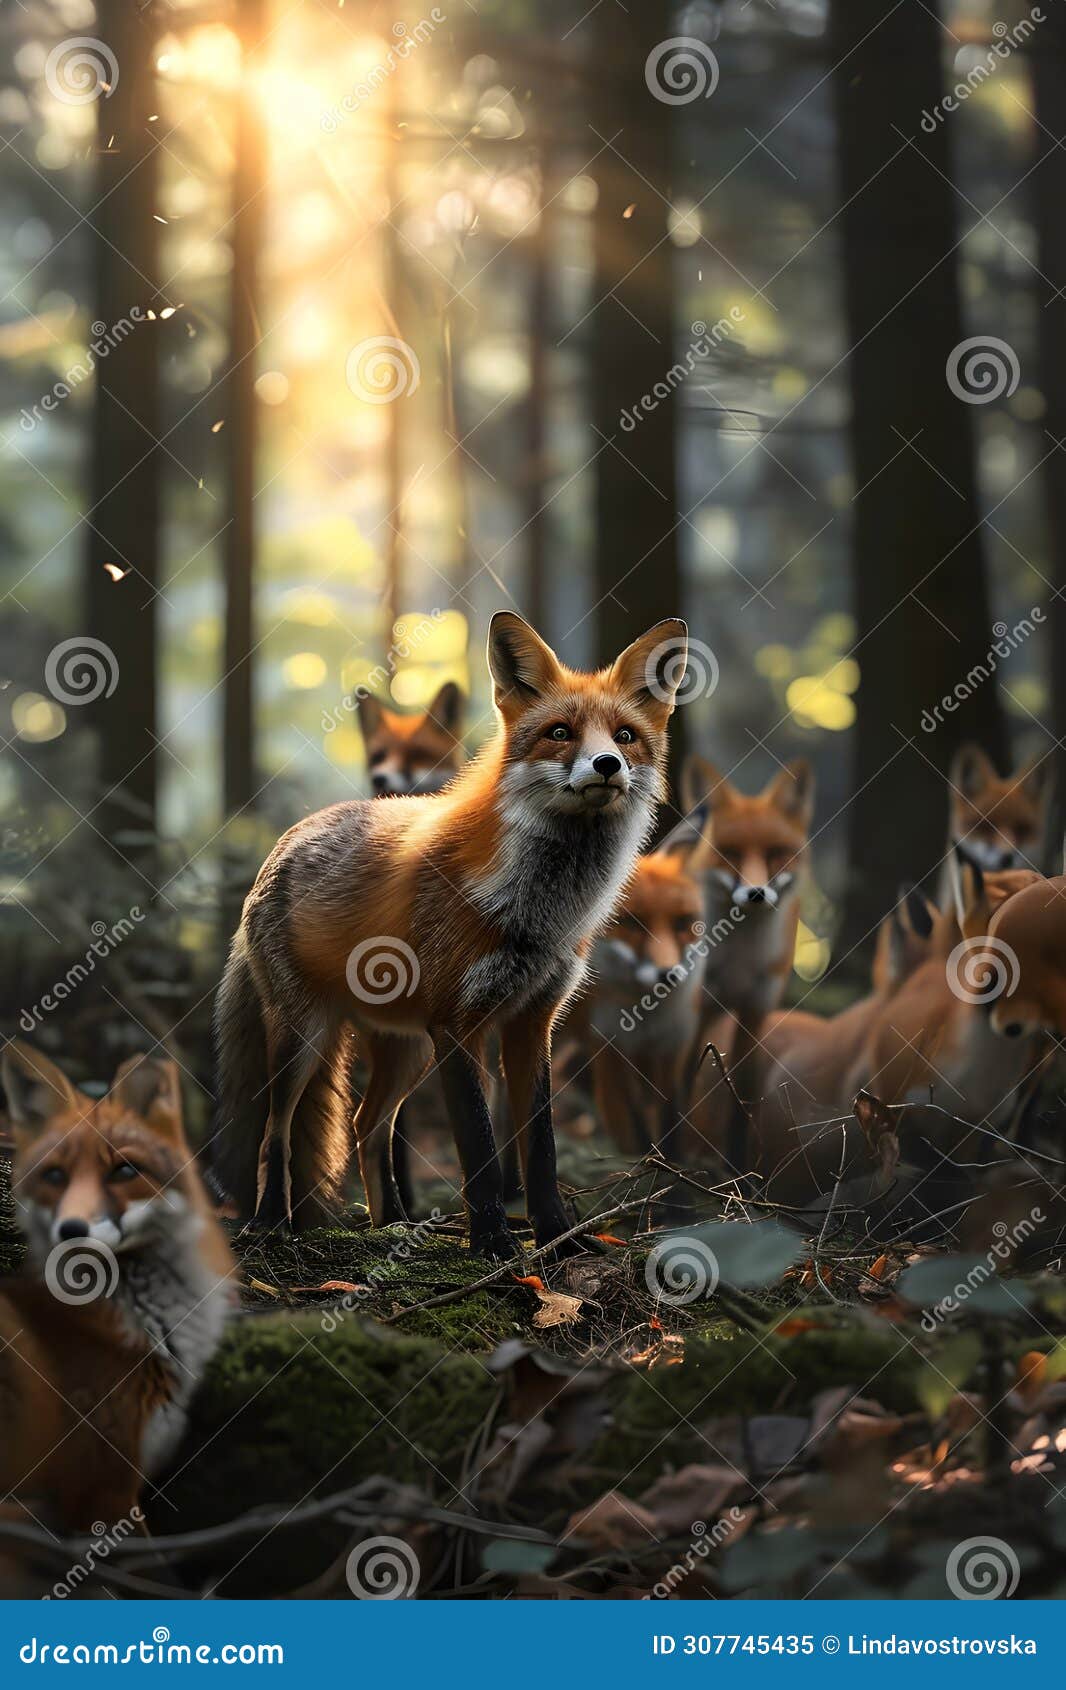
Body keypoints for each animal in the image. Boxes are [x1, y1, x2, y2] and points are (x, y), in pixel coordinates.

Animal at [214, 611, 688, 1258]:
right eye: (560, 733)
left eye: (625, 736)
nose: (607, 765)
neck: (540, 912)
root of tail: (287, 839)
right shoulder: (458, 1027)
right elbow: (478, 1147)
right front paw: (492, 1243)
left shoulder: (529, 1022)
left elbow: (540, 1149)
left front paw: (556, 1239)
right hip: (305, 1036)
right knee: (275, 1129)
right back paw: (270, 1223)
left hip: (406, 1049)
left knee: (367, 1125)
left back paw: (390, 1224)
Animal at [571, 841, 707, 1161]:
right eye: (632, 924)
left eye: (682, 923)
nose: (668, 974)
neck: (646, 1021)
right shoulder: (609, 1053)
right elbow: (633, 1129)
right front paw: (645, 1162)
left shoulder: (672, 1047)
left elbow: (670, 1118)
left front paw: (672, 1164)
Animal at [678, 754, 815, 1170]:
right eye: (732, 854)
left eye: (775, 853)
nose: (756, 893)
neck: (739, 960)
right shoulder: (697, 1008)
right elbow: (682, 1084)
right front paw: (671, 1160)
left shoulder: (756, 1009)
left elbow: (742, 1091)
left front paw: (737, 1168)